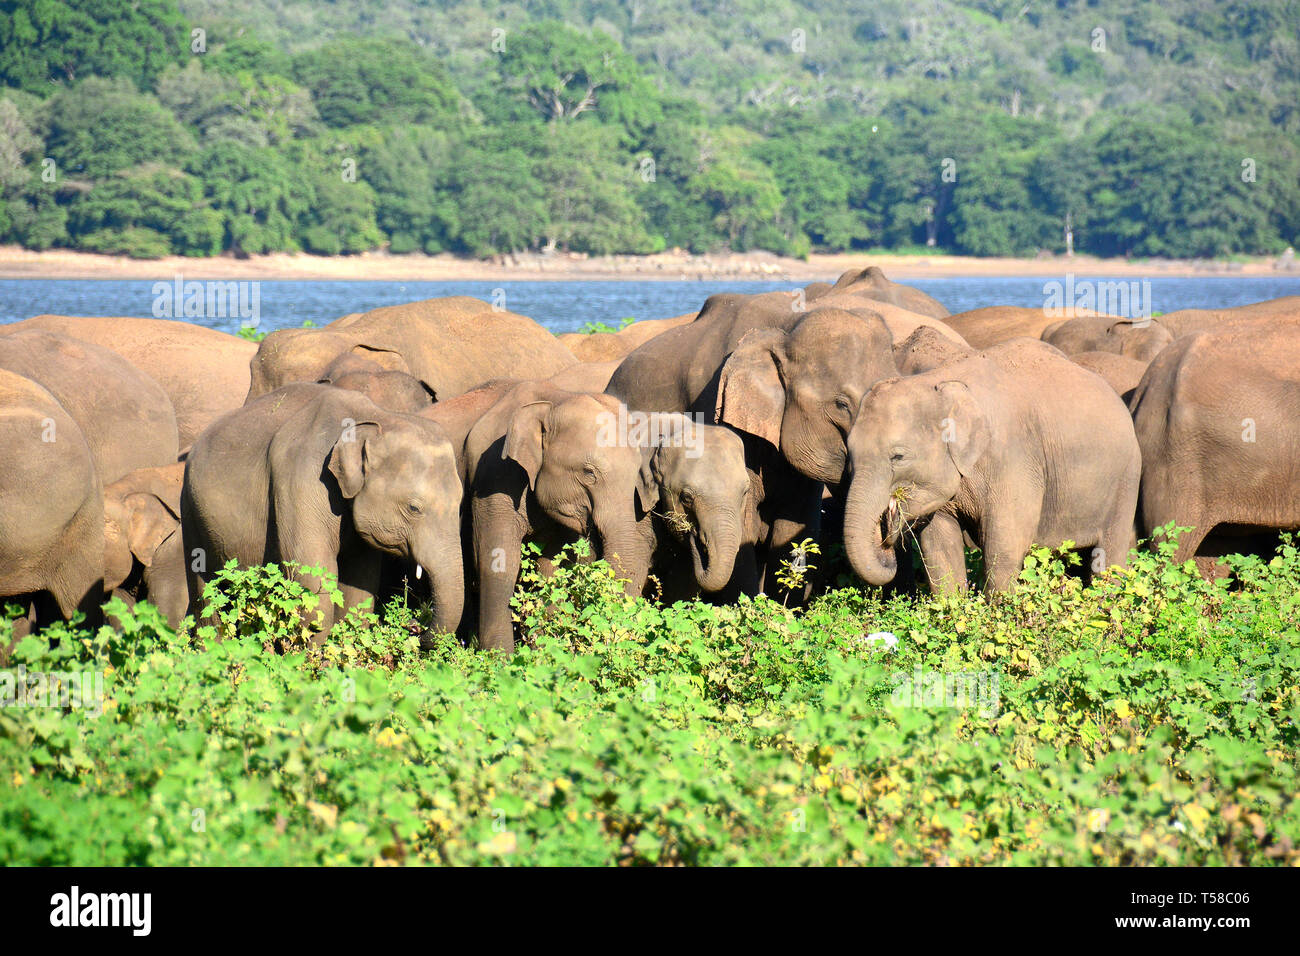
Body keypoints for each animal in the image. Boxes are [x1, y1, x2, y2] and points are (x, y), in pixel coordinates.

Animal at [182, 384, 465, 638]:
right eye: (414, 508)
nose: (416, 626)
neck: (377, 418)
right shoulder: (301, 480)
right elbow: (312, 583)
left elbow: (358, 588)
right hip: (191, 510)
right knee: (206, 596)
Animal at [842, 338, 1141, 595]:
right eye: (850, 456)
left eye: (898, 457)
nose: (887, 545)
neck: (939, 382)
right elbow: (939, 547)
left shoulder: (1014, 456)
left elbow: (1006, 544)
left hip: (1125, 480)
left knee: (1109, 557)